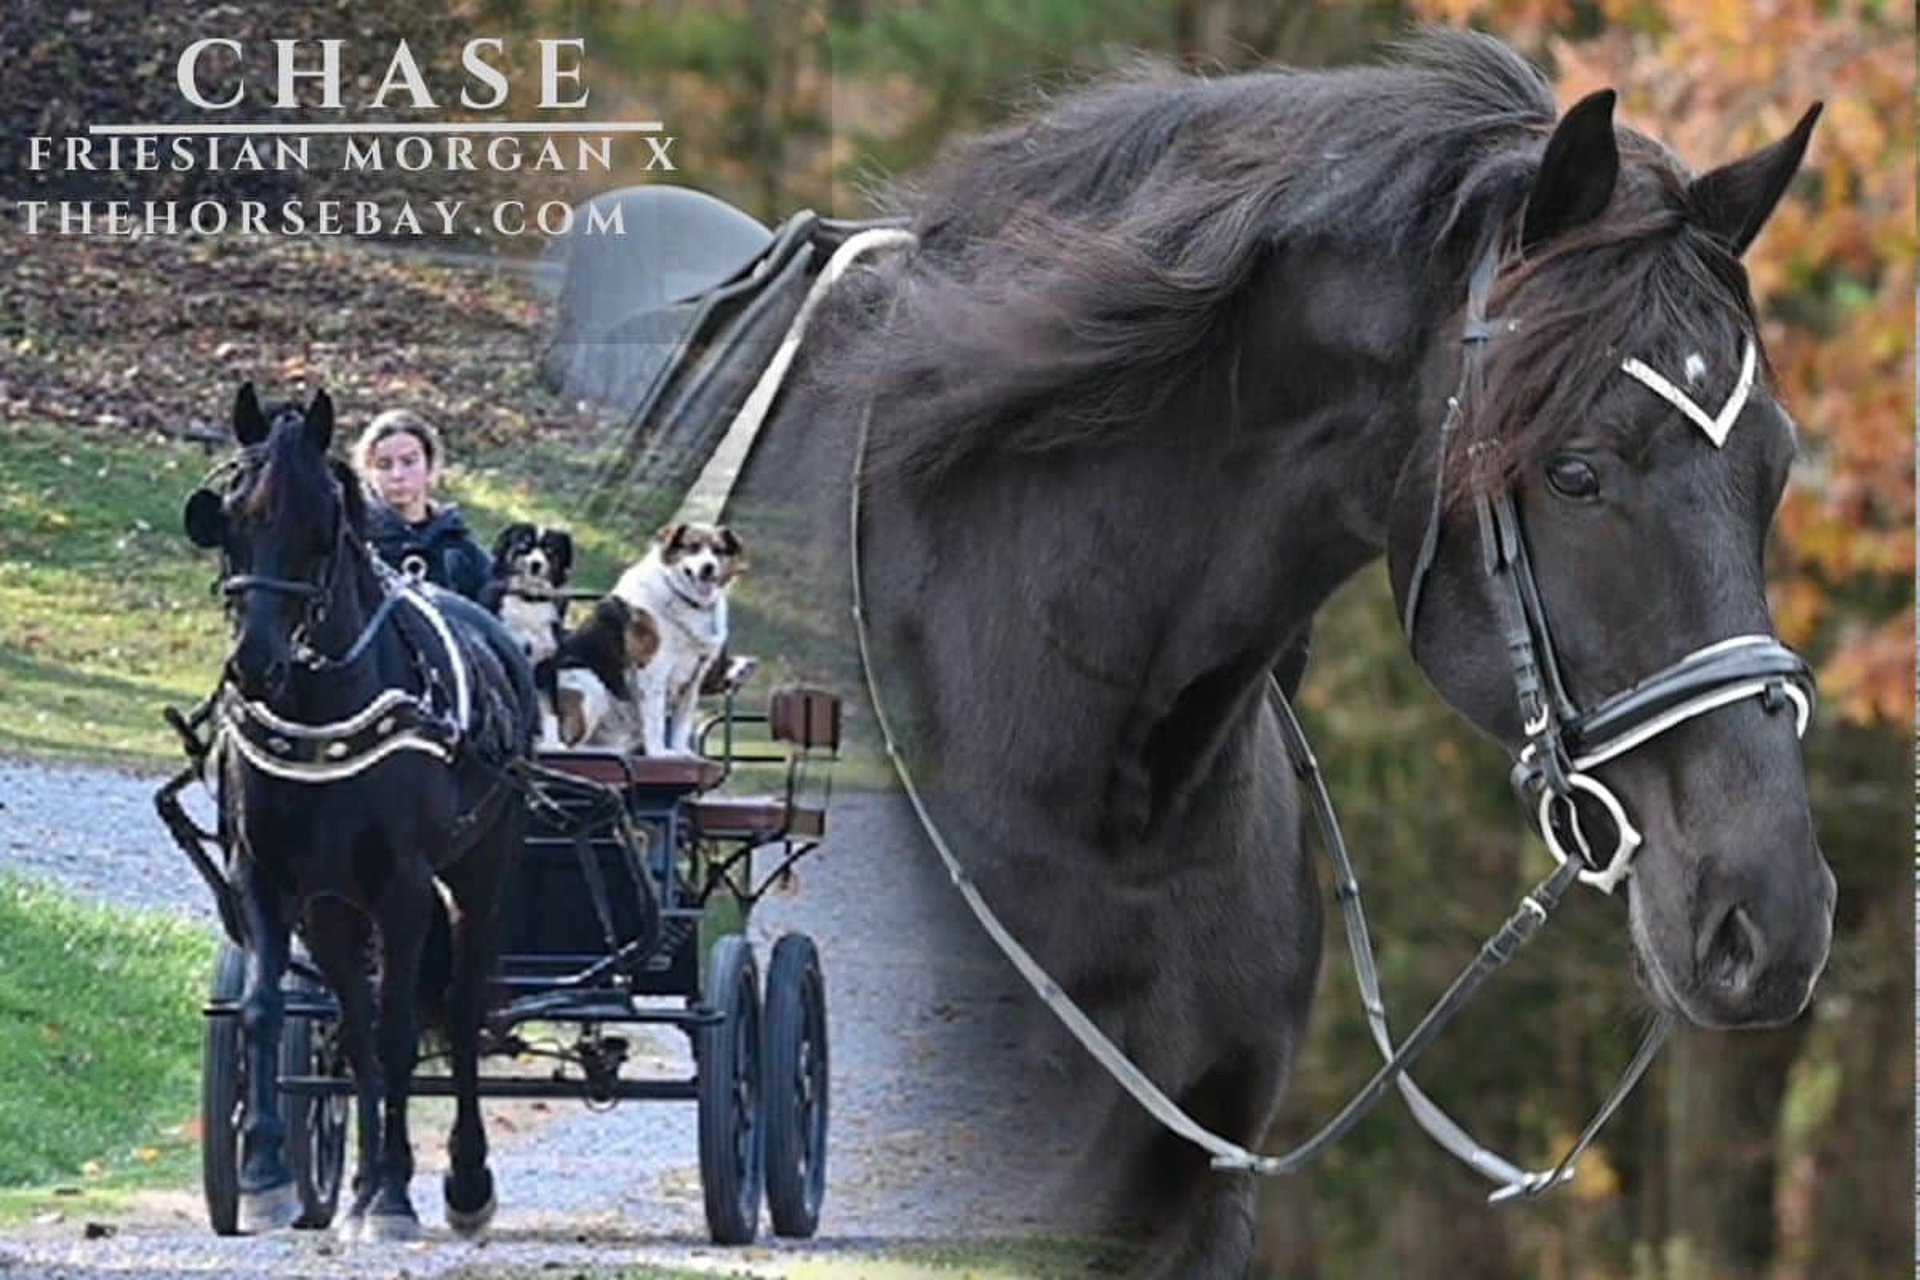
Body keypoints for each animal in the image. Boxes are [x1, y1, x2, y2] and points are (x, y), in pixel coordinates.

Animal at [183, 385, 536, 1240]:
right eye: (229, 521)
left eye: (320, 529)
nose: (256, 661)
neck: (322, 708)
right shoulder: (265, 878)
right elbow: (267, 1009)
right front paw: (267, 1172)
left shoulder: (405, 886)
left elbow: (401, 1029)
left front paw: (403, 1190)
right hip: (333, 907)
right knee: (351, 1020)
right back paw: (363, 1186)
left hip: (478, 876)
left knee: (460, 1009)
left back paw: (458, 1182)